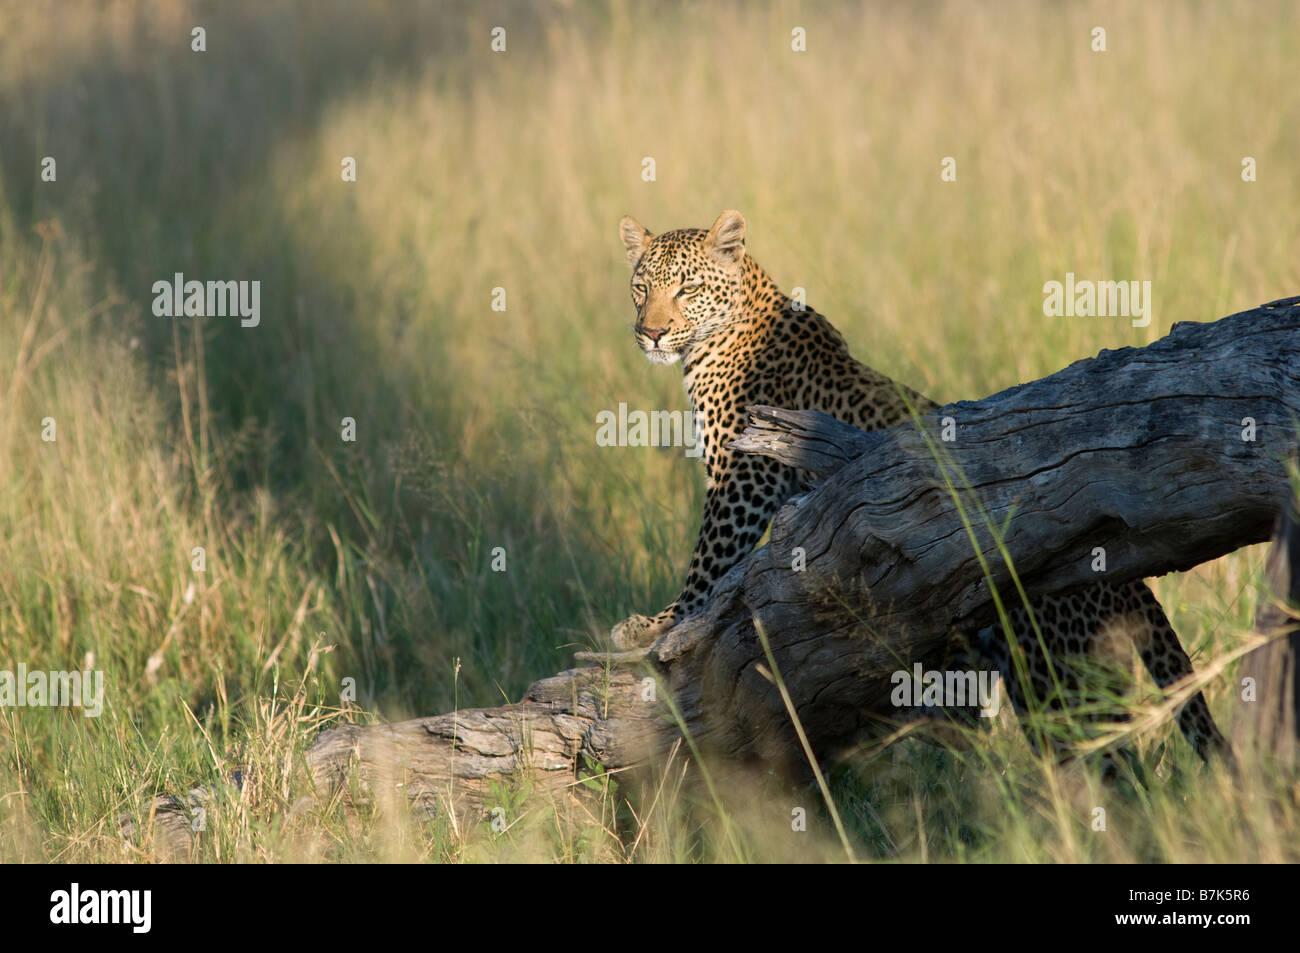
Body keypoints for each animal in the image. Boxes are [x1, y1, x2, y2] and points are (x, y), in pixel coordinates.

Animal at [610, 209, 1229, 763]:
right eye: (641, 288)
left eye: (687, 288)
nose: (650, 332)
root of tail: (1127, 577)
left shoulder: (740, 477)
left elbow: (708, 561)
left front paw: (660, 627)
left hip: (1055, 667)